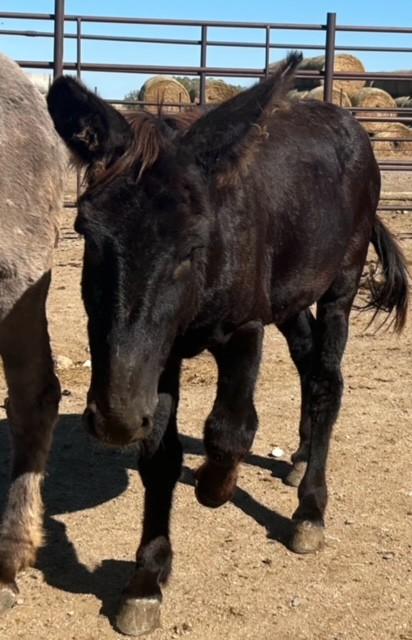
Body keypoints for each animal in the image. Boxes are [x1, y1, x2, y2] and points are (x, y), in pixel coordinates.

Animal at [46, 52, 409, 636]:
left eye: (194, 243)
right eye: (84, 231)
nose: (114, 420)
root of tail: (343, 118)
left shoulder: (243, 331)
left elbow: (229, 430)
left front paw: (214, 488)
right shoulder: (158, 354)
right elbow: (160, 455)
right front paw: (146, 581)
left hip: (341, 282)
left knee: (327, 382)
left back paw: (310, 511)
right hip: (290, 295)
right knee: (307, 361)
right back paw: (300, 458)